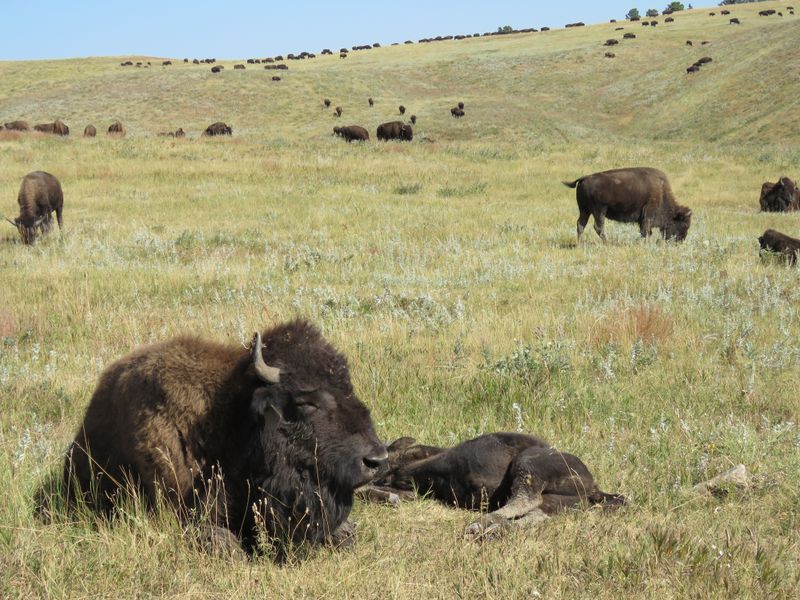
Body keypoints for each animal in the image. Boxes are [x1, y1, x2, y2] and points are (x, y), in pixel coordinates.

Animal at [367, 433, 625, 540]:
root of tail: (594, 488)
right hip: (563, 503)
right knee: (536, 514)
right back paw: (494, 530)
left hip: (529, 463)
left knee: (526, 499)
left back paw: (480, 525)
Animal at [563, 167, 692, 242]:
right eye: (684, 225)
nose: (680, 241)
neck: (661, 190)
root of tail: (584, 178)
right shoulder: (648, 212)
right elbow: (646, 230)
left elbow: (644, 231)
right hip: (599, 210)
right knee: (598, 227)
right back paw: (607, 244)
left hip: (585, 210)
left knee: (581, 224)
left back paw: (581, 244)